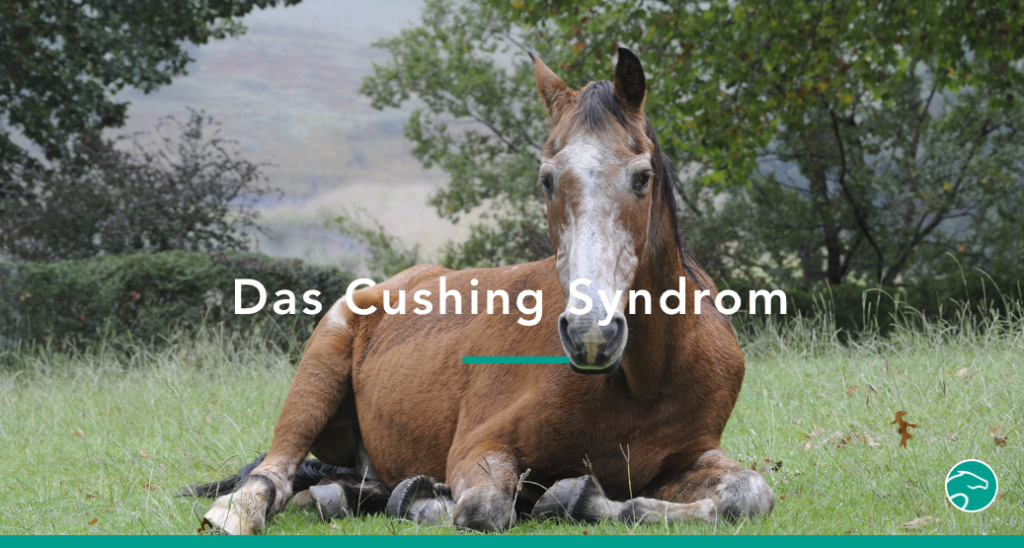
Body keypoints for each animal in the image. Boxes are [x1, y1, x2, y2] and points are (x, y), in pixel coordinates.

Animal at [191, 47, 774, 534]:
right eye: (547, 180)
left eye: (642, 177)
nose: (591, 333)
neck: (645, 377)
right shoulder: (480, 445)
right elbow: (484, 507)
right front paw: (441, 501)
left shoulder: (688, 459)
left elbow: (750, 493)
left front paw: (574, 497)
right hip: (318, 371)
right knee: (275, 472)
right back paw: (243, 511)